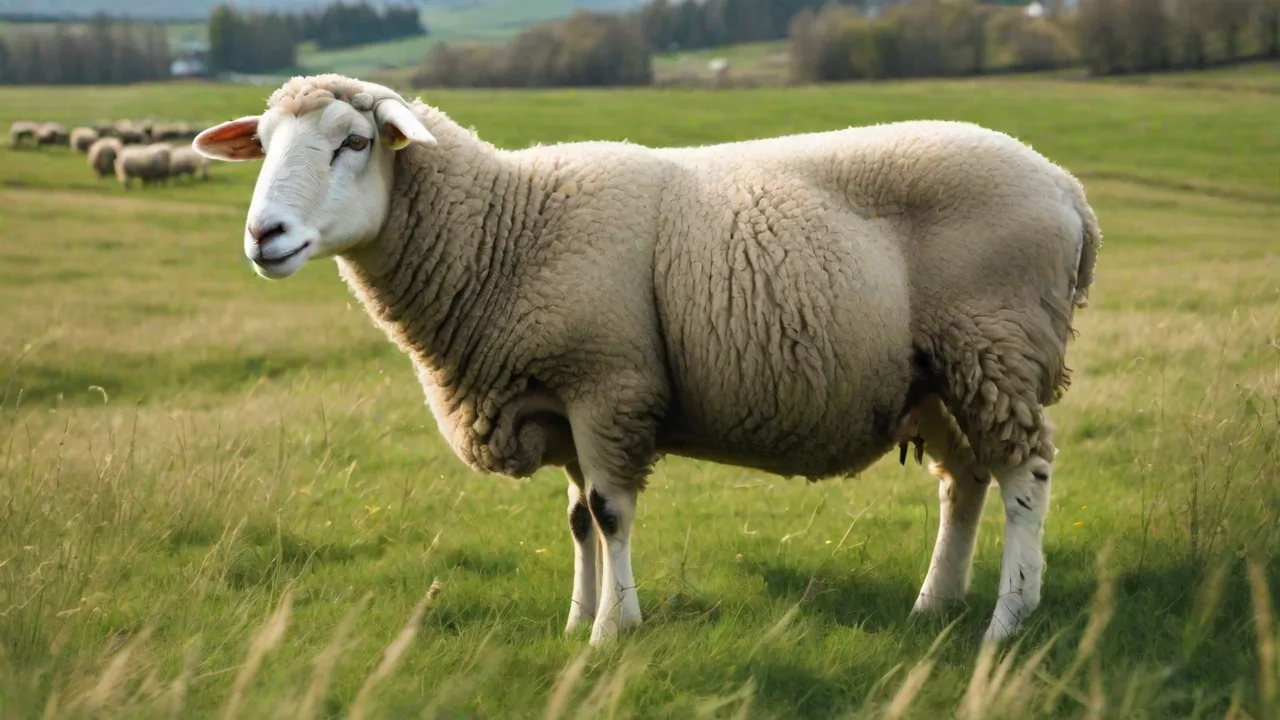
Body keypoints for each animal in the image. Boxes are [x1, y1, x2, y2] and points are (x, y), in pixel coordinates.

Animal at [194, 74, 1102, 648]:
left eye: (353, 142)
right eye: (264, 143)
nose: (264, 235)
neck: (506, 229)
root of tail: (1068, 191)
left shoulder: (609, 382)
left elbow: (609, 514)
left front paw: (611, 633)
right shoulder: (561, 398)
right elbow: (575, 521)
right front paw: (576, 619)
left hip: (994, 343)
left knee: (1025, 475)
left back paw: (1007, 621)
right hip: (944, 374)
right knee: (967, 482)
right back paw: (934, 605)